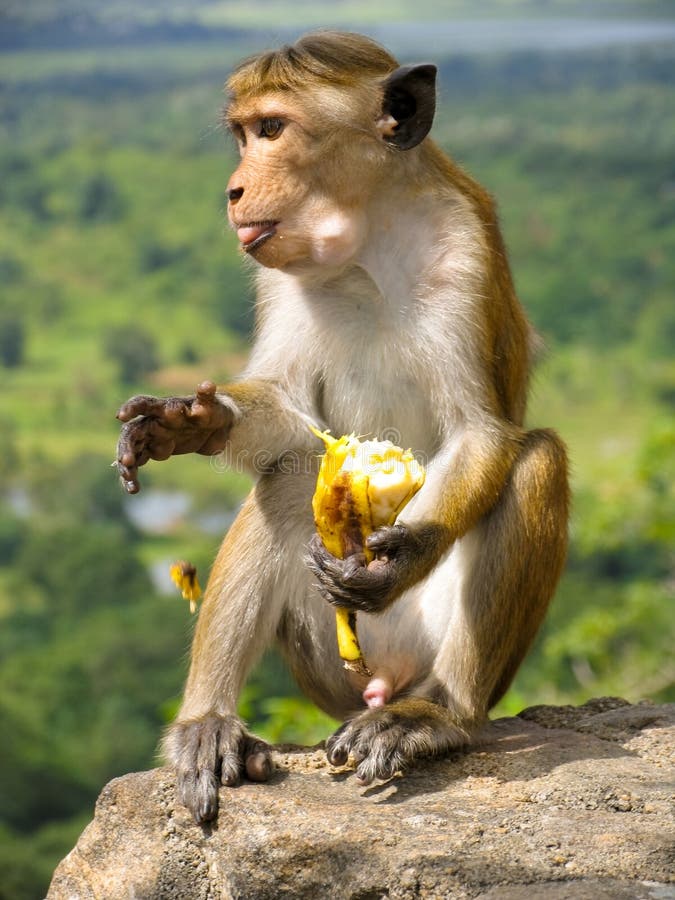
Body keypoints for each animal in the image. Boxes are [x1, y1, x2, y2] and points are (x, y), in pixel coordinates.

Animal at [115, 31, 569, 824]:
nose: (234, 190)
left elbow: (481, 433)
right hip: (324, 658)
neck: (367, 242)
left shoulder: (464, 249)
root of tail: (380, 679)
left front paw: (399, 559)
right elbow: (283, 410)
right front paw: (189, 421)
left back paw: (435, 717)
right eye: (243, 134)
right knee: (290, 474)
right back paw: (209, 725)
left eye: (272, 129)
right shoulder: (275, 266)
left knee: (536, 458)